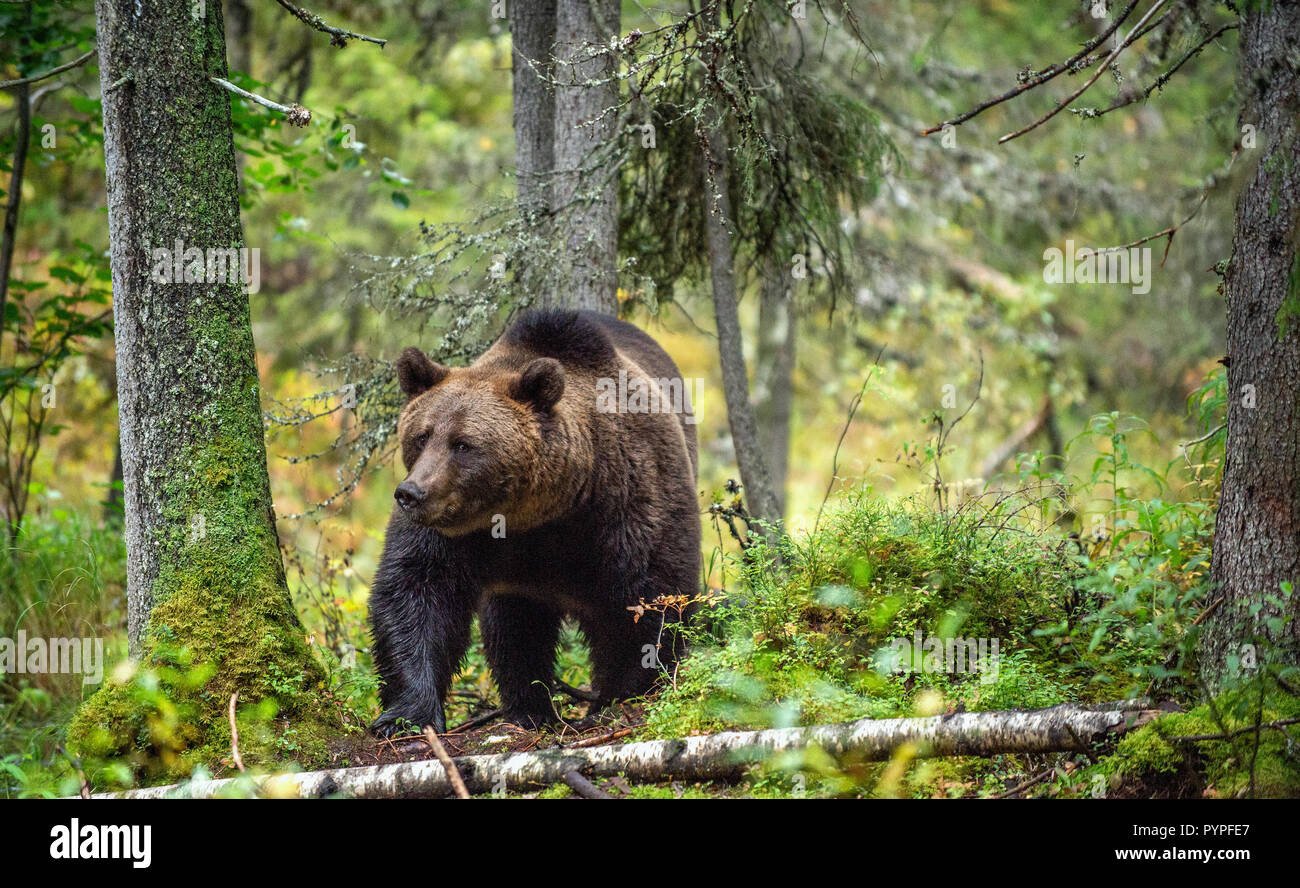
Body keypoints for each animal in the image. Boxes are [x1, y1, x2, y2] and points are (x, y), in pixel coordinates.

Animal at [369, 308, 701, 735]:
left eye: (463, 444)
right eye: (421, 435)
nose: (411, 493)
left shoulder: (626, 500)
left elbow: (648, 598)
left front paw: (621, 696)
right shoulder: (455, 532)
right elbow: (417, 592)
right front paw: (406, 715)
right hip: (518, 584)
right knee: (515, 628)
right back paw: (530, 708)